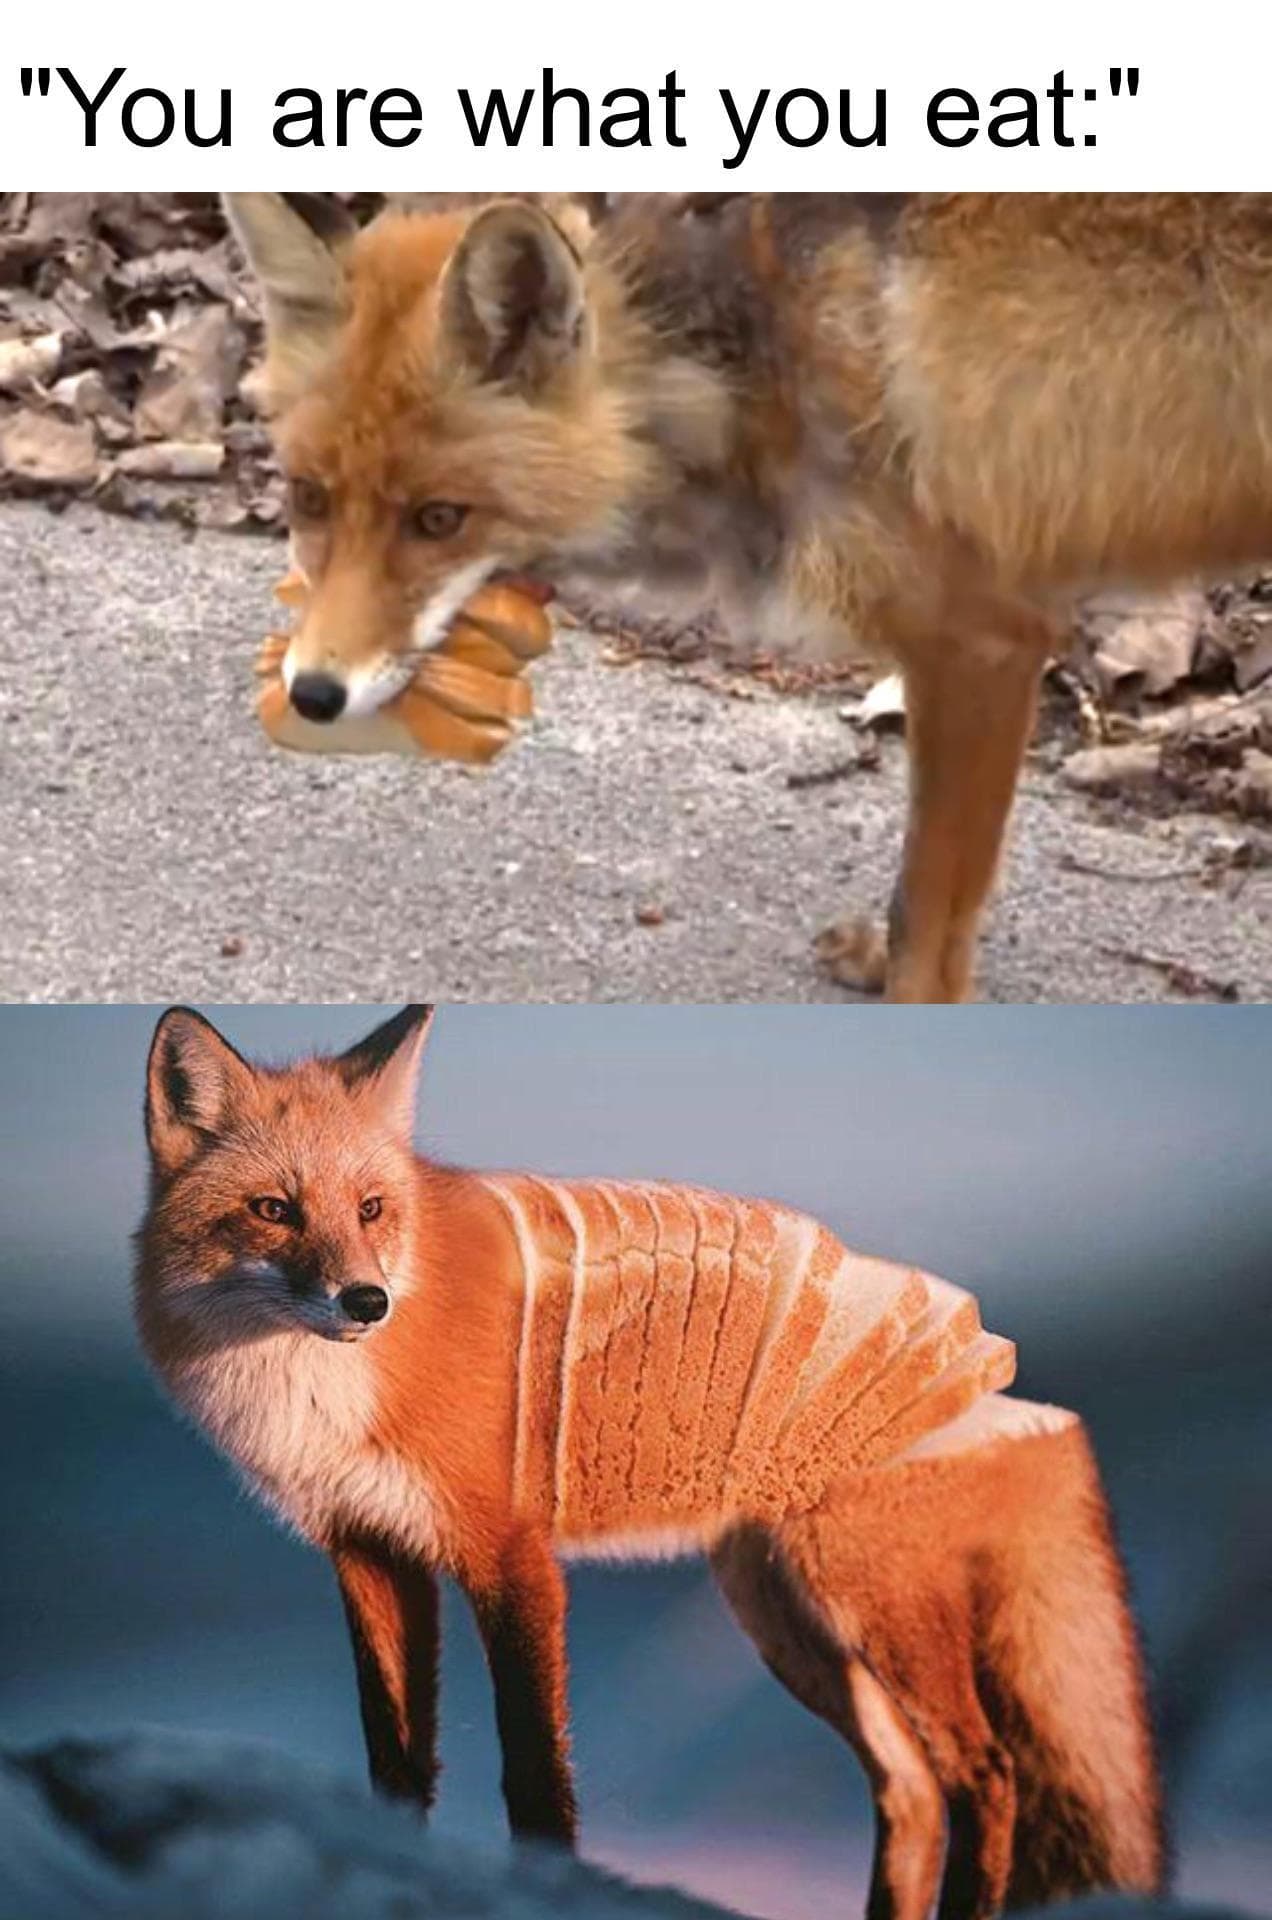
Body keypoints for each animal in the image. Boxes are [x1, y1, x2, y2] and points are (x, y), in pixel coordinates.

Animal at [134, 1001, 1164, 1919]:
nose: (365, 1302)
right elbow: (396, 1762)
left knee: (988, 1777)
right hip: (795, 1628)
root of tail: (1015, 1400)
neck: (319, 1393)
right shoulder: (370, 1552)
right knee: (910, 1794)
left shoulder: (511, 1559)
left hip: (874, 1614)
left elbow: (534, 1772)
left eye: (372, 1209)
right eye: (273, 1210)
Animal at [222, 190, 1272, 1003]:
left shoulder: (983, 639)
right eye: (308, 498)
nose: (313, 694)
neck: (755, 358)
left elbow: (928, 916)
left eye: (441, 518)